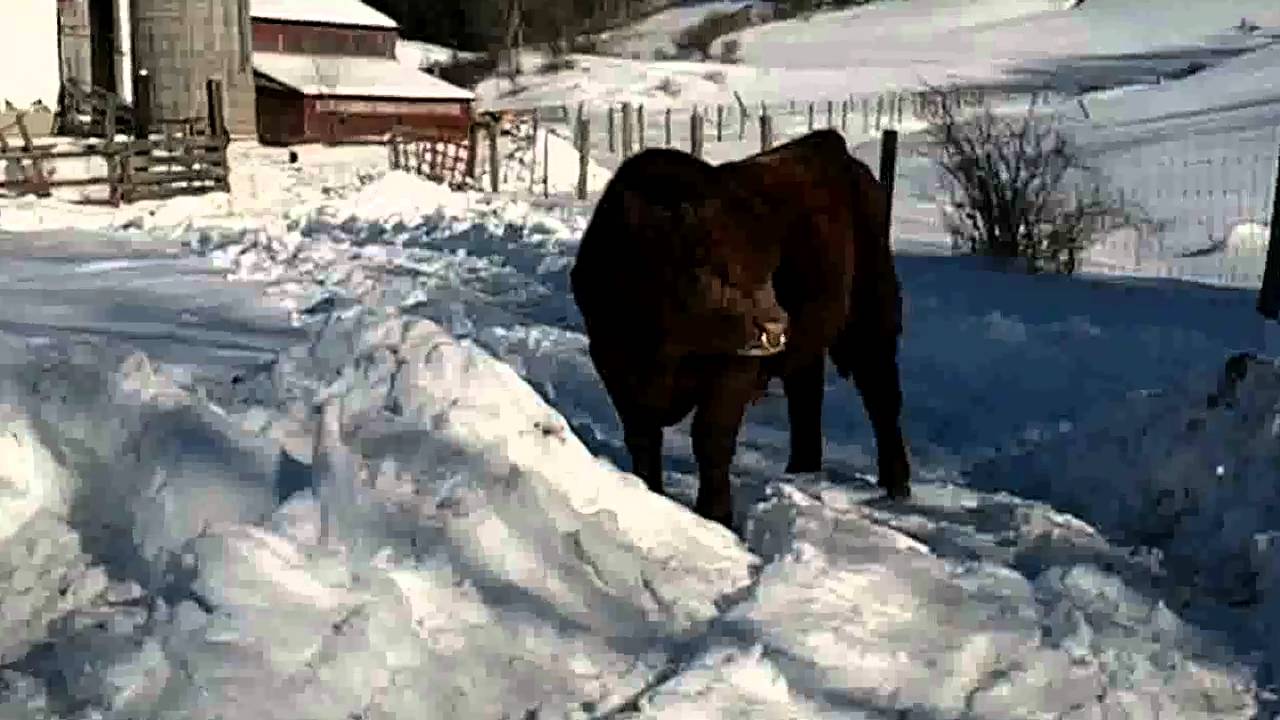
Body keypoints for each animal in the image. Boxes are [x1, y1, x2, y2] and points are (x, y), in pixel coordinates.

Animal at [570, 129, 910, 532]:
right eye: (711, 267)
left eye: (767, 265)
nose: (776, 326)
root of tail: (834, 151)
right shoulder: (613, 364)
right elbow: (643, 437)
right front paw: (649, 493)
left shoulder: (733, 368)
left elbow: (711, 438)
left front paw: (717, 516)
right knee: (806, 393)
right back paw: (802, 470)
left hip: (872, 318)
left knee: (881, 396)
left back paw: (896, 484)